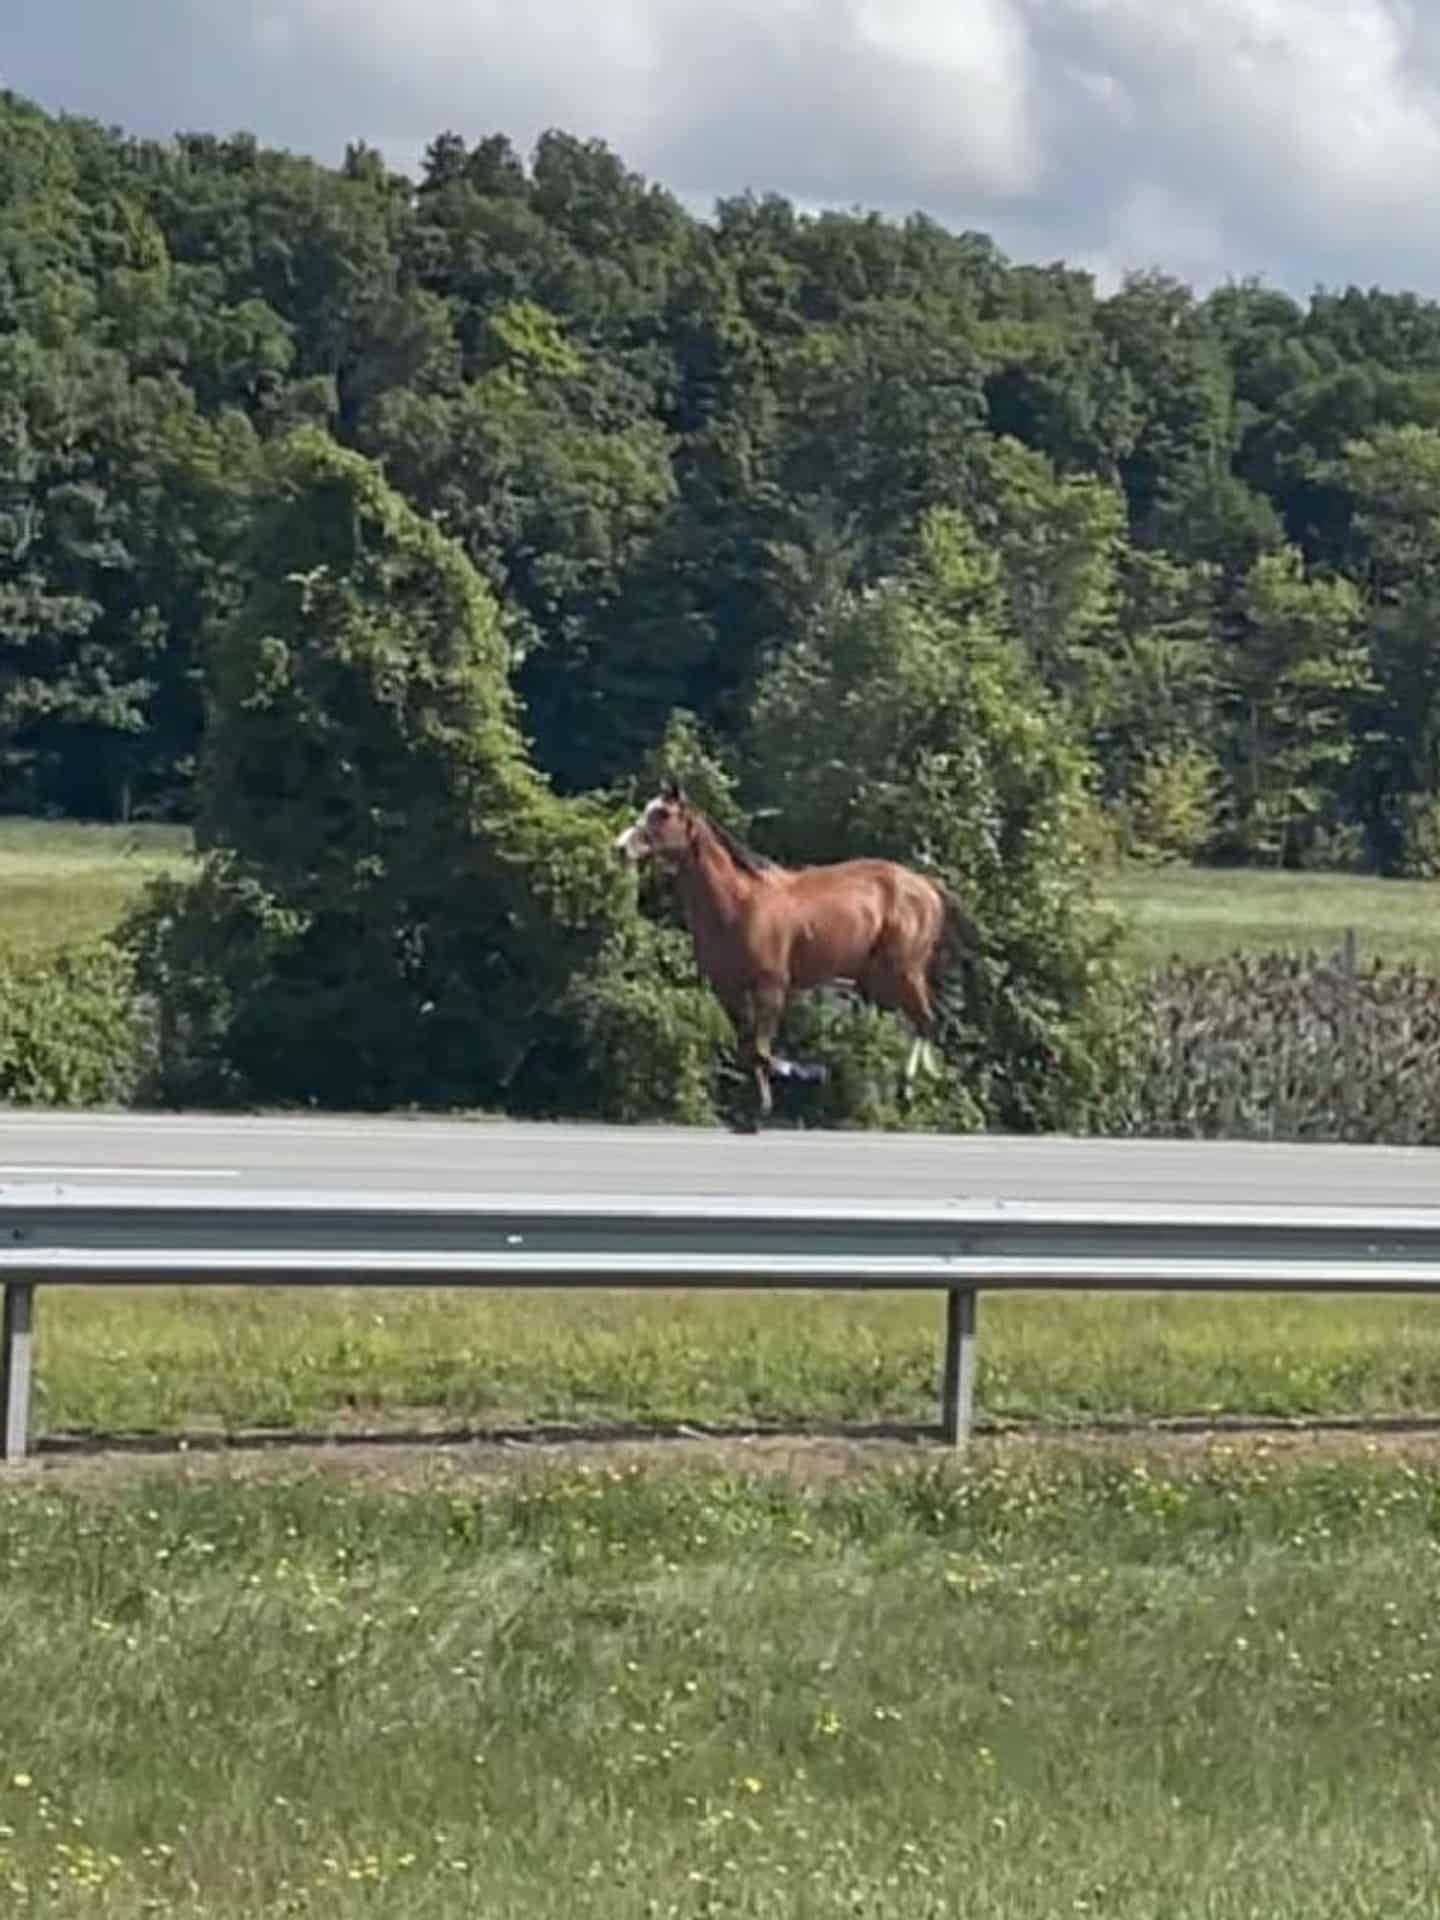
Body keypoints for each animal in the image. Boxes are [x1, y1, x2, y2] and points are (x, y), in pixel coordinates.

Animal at [615, 778, 983, 1124]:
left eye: (663, 813)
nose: (621, 847)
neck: (738, 902)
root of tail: (927, 886)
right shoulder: (727, 989)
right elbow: (747, 1049)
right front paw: (749, 1109)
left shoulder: (771, 986)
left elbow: (759, 1050)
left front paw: (772, 1098)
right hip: (880, 980)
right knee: (921, 1022)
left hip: (903, 971)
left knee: (927, 1021)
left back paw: (909, 1087)